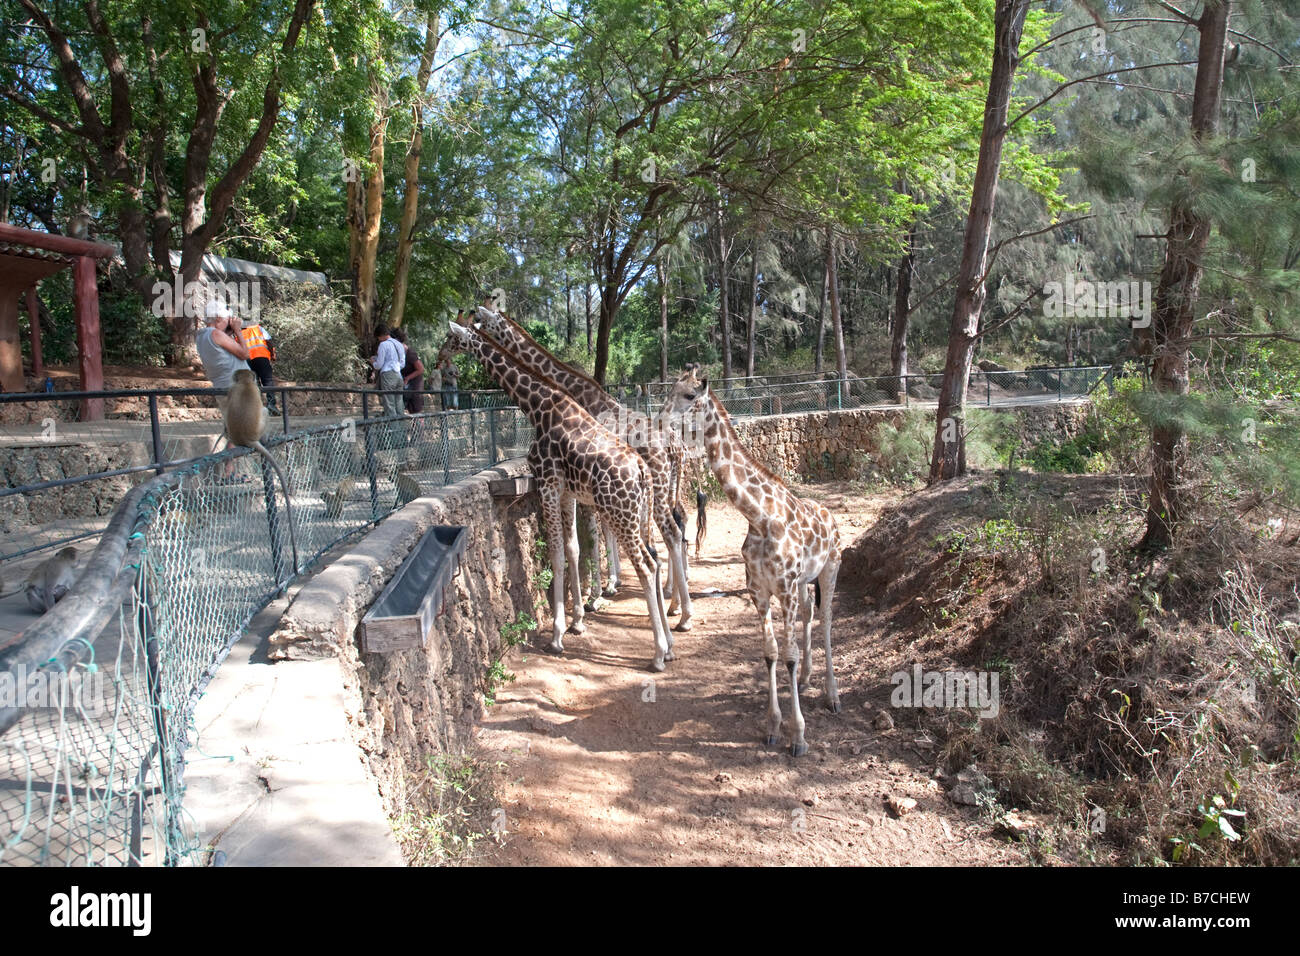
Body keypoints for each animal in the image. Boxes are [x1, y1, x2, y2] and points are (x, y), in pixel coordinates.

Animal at [443, 314, 677, 671]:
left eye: (451, 338)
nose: (438, 360)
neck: (537, 406)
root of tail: (642, 472)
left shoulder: (548, 484)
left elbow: (557, 552)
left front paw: (557, 634)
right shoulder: (568, 492)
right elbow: (573, 548)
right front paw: (578, 619)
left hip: (622, 512)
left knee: (649, 564)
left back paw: (659, 652)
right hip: (640, 510)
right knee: (660, 551)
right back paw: (672, 638)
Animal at [666, 364, 841, 756]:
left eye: (689, 395)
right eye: (668, 391)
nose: (660, 422)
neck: (760, 517)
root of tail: (830, 514)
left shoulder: (785, 589)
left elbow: (788, 654)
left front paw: (799, 736)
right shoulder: (760, 590)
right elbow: (771, 652)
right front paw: (773, 727)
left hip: (830, 569)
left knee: (825, 619)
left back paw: (833, 695)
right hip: (804, 583)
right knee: (809, 615)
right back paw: (806, 679)